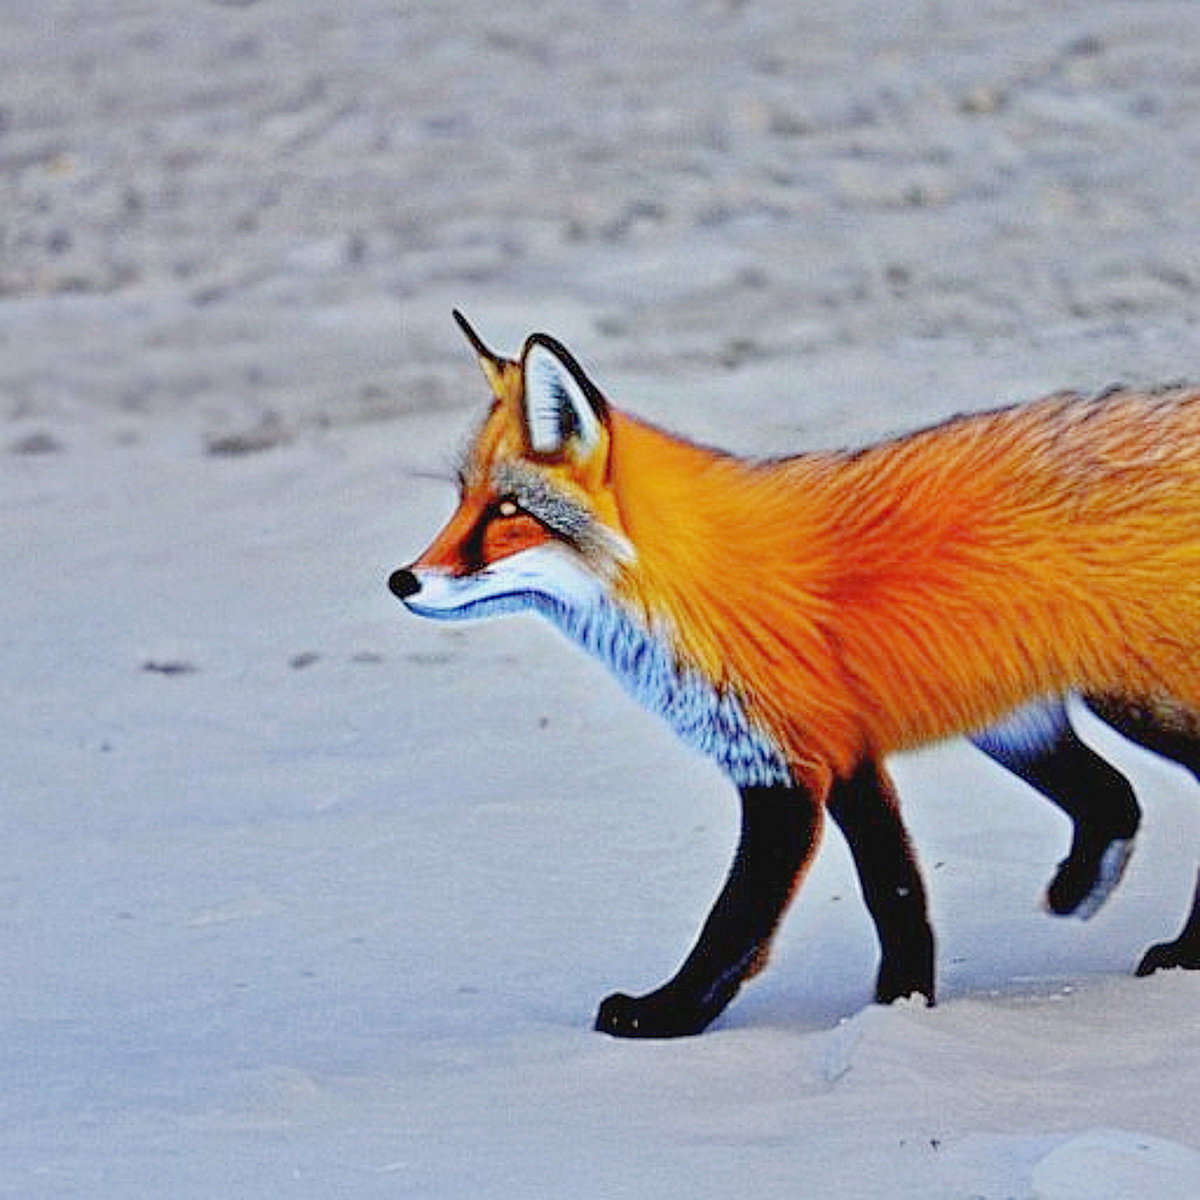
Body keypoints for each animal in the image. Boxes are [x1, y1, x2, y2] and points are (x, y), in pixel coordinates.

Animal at [389, 311, 1200, 1037]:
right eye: (464, 499)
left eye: (510, 510)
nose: (402, 581)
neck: (687, 589)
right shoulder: (839, 753)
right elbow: (897, 893)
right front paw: (905, 1004)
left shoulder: (787, 772)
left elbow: (739, 923)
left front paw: (669, 1017)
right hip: (1017, 714)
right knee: (1112, 798)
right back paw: (1084, 892)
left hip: (1128, 699)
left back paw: (1182, 951)